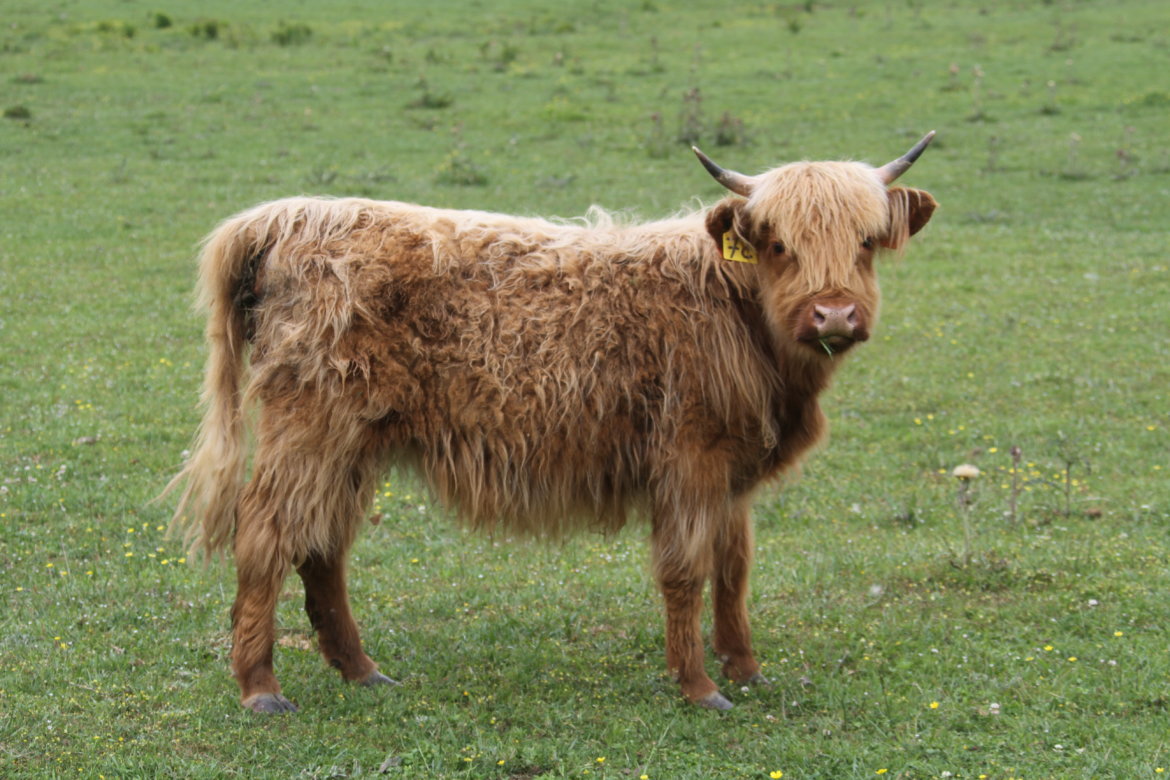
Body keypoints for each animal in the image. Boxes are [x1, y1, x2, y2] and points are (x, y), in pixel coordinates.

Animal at [167, 133, 938, 712]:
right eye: (778, 243)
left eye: (867, 241)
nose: (833, 314)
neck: (737, 312)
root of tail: (287, 215)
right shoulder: (689, 461)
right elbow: (686, 572)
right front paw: (699, 686)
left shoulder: (732, 473)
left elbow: (734, 568)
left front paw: (746, 669)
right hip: (311, 429)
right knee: (266, 532)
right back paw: (261, 687)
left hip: (353, 443)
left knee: (322, 547)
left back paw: (362, 670)